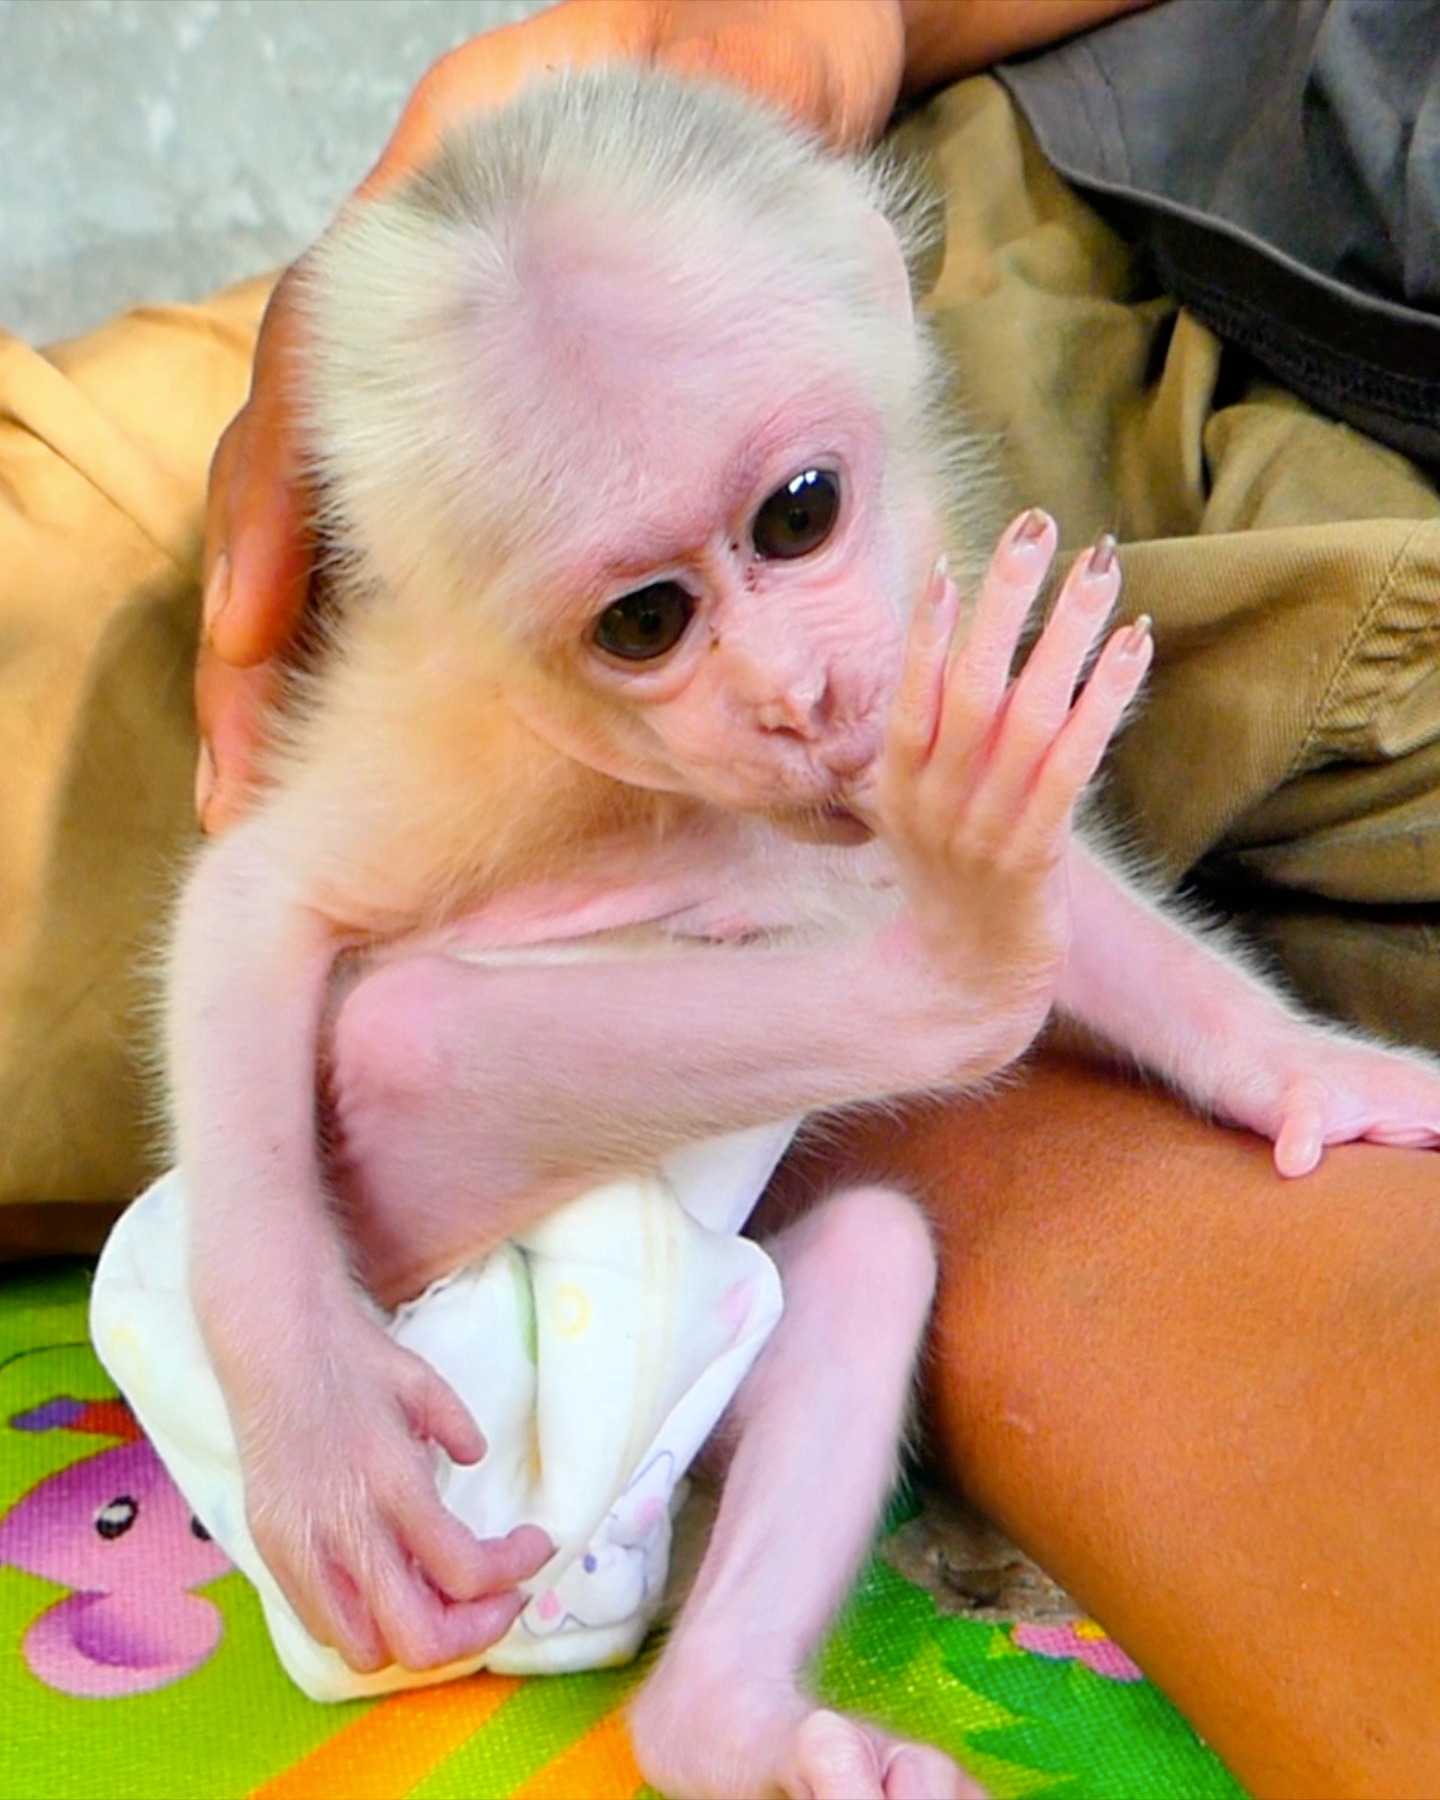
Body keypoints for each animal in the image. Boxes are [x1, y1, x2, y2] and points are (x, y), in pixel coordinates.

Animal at [91, 67, 1440, 1800]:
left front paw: (1301, 1070)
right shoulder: (480, 736)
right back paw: (953, 971)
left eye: (799, 516)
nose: (790, 700)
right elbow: (257, 909)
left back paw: (720, 1720)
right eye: (647, 623)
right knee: (406, 1040)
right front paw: (321, 1435)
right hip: (442, 1319)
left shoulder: (914, 680)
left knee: (858, 1269)